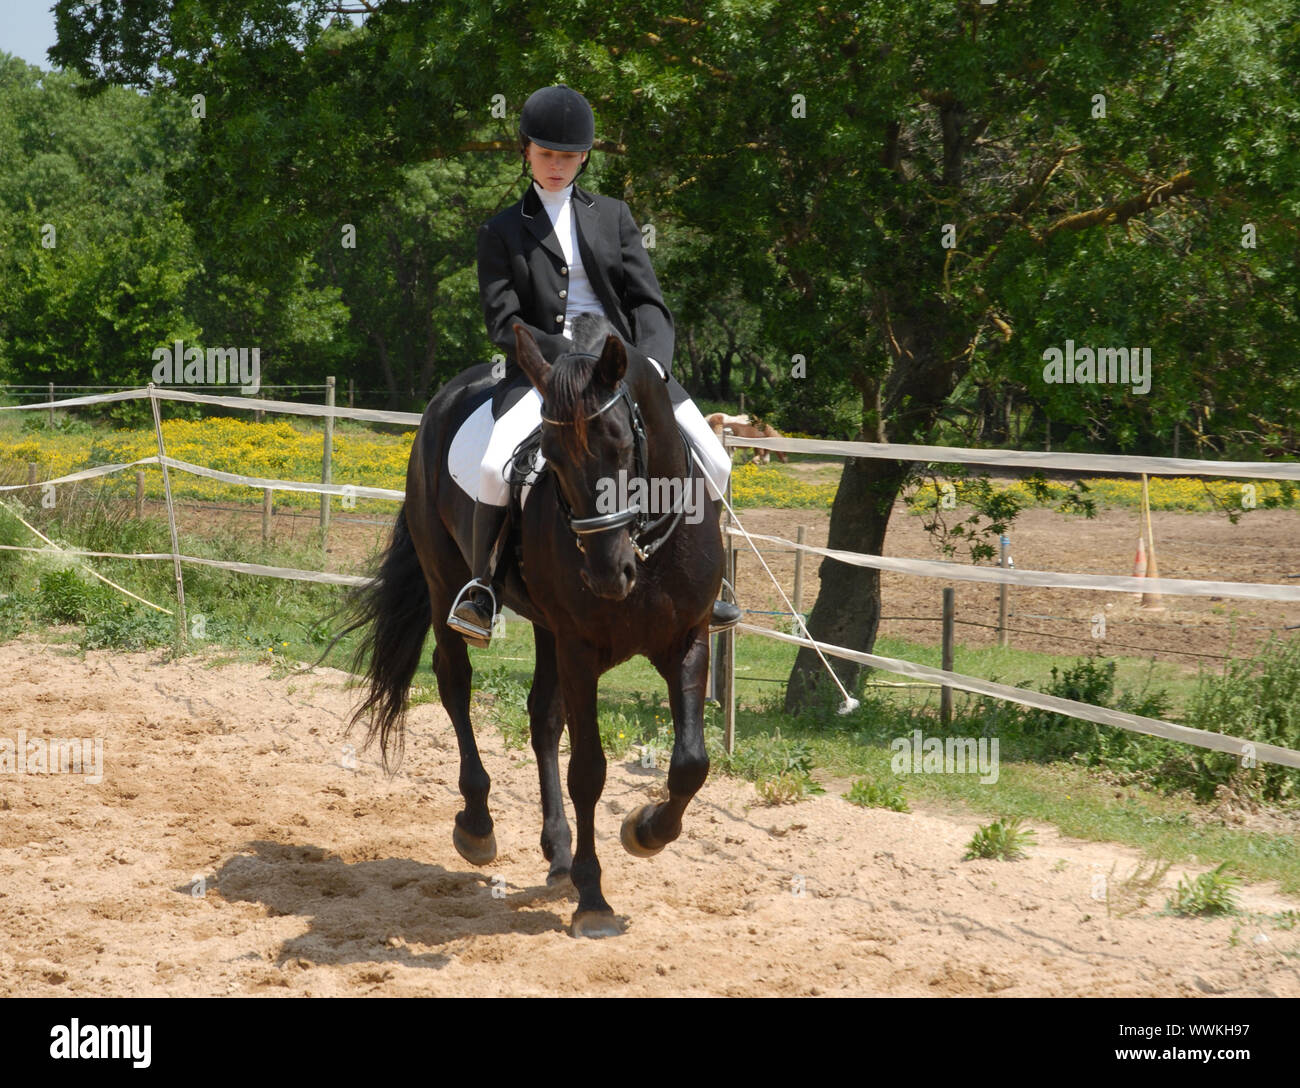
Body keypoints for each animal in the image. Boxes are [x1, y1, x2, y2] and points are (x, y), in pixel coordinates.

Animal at [340, 315, 723, 938]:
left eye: (621, 444)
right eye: (553, 458)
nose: (607, 573)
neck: (646, 550)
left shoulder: (687, 639)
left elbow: (691, 763)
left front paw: (643, 831)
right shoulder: (581, 648)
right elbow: (588, 770)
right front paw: (594, 900)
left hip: (548, 627)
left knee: (542, 717)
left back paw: (558, 852)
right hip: (447, 581)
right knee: (454, 682)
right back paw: (477, 824)